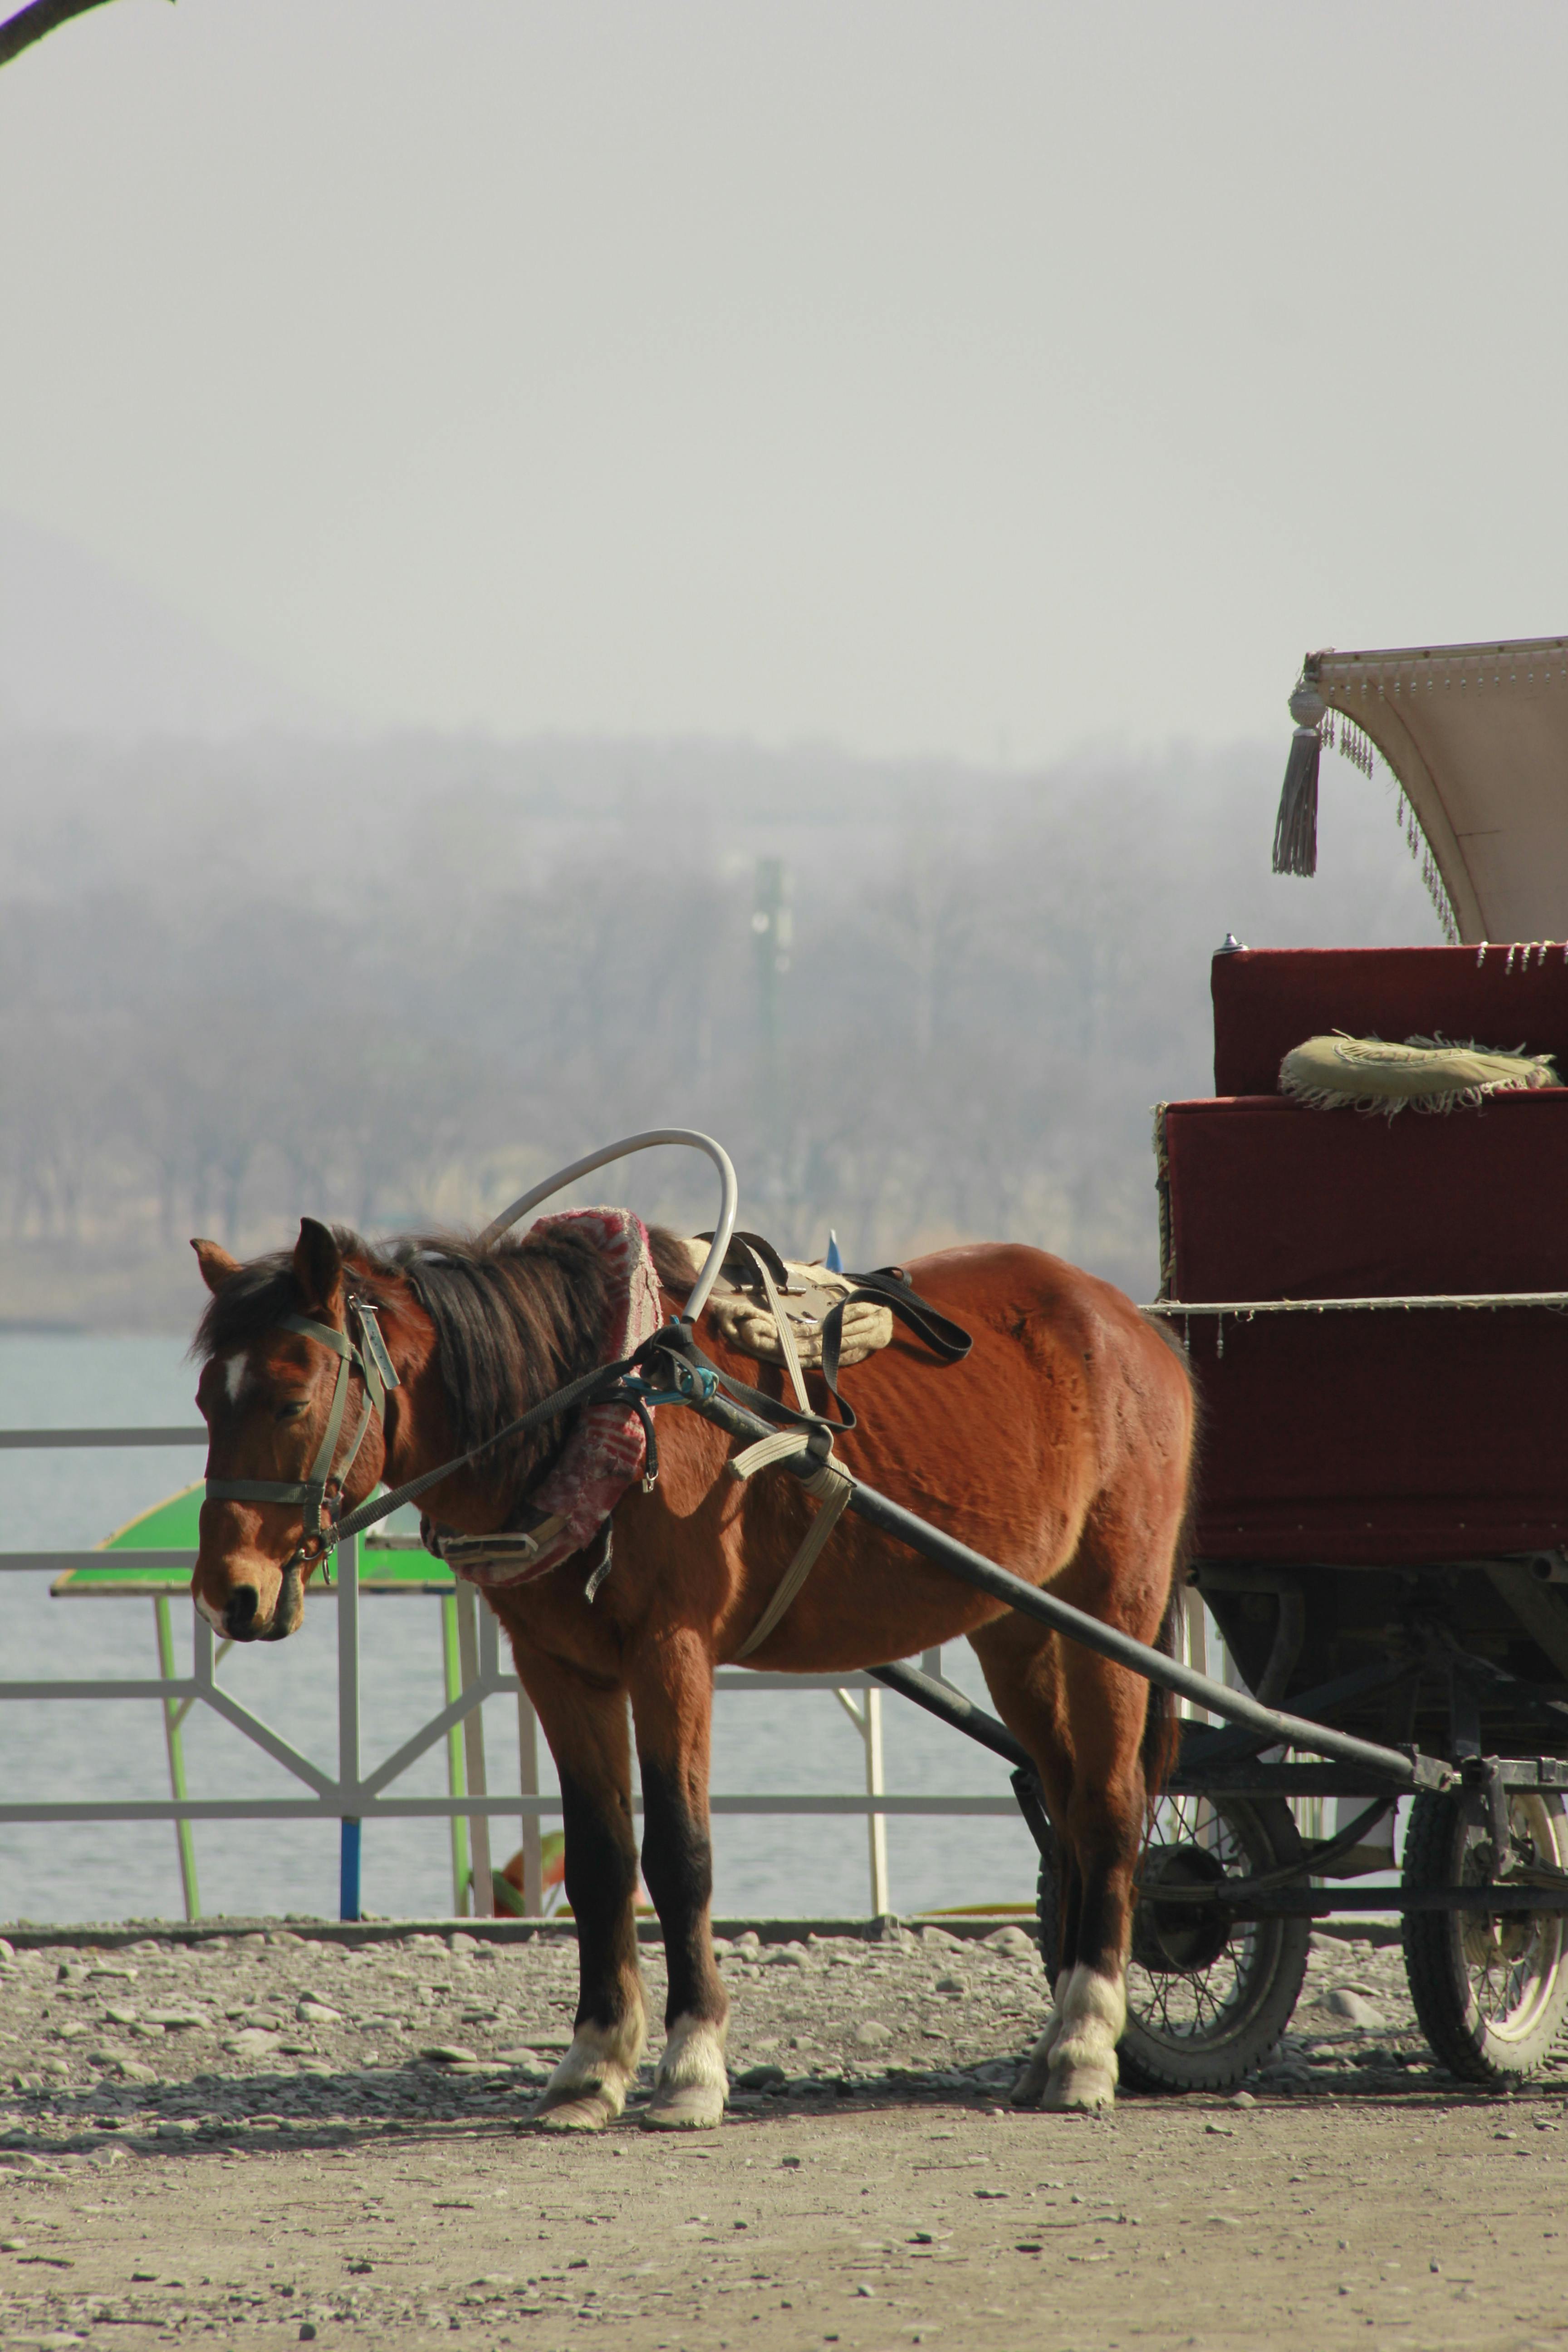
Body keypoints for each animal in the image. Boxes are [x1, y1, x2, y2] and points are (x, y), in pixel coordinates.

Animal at [188, 1212, 1195, 2129]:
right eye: (204, 1399)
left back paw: (1087, 2039)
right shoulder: (559, 1665)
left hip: (1112, 1606)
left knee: (1109, 1807)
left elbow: (679, 1853)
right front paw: (593, 2064)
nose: (229, 1592)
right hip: (1018, 1620)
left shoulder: (671, 1650)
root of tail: (1135, 1322)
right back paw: (1056, 2035)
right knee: (1067, 1806)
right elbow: (600, 1860)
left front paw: (690, 2061)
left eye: (290, 1400)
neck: (600, 1402)